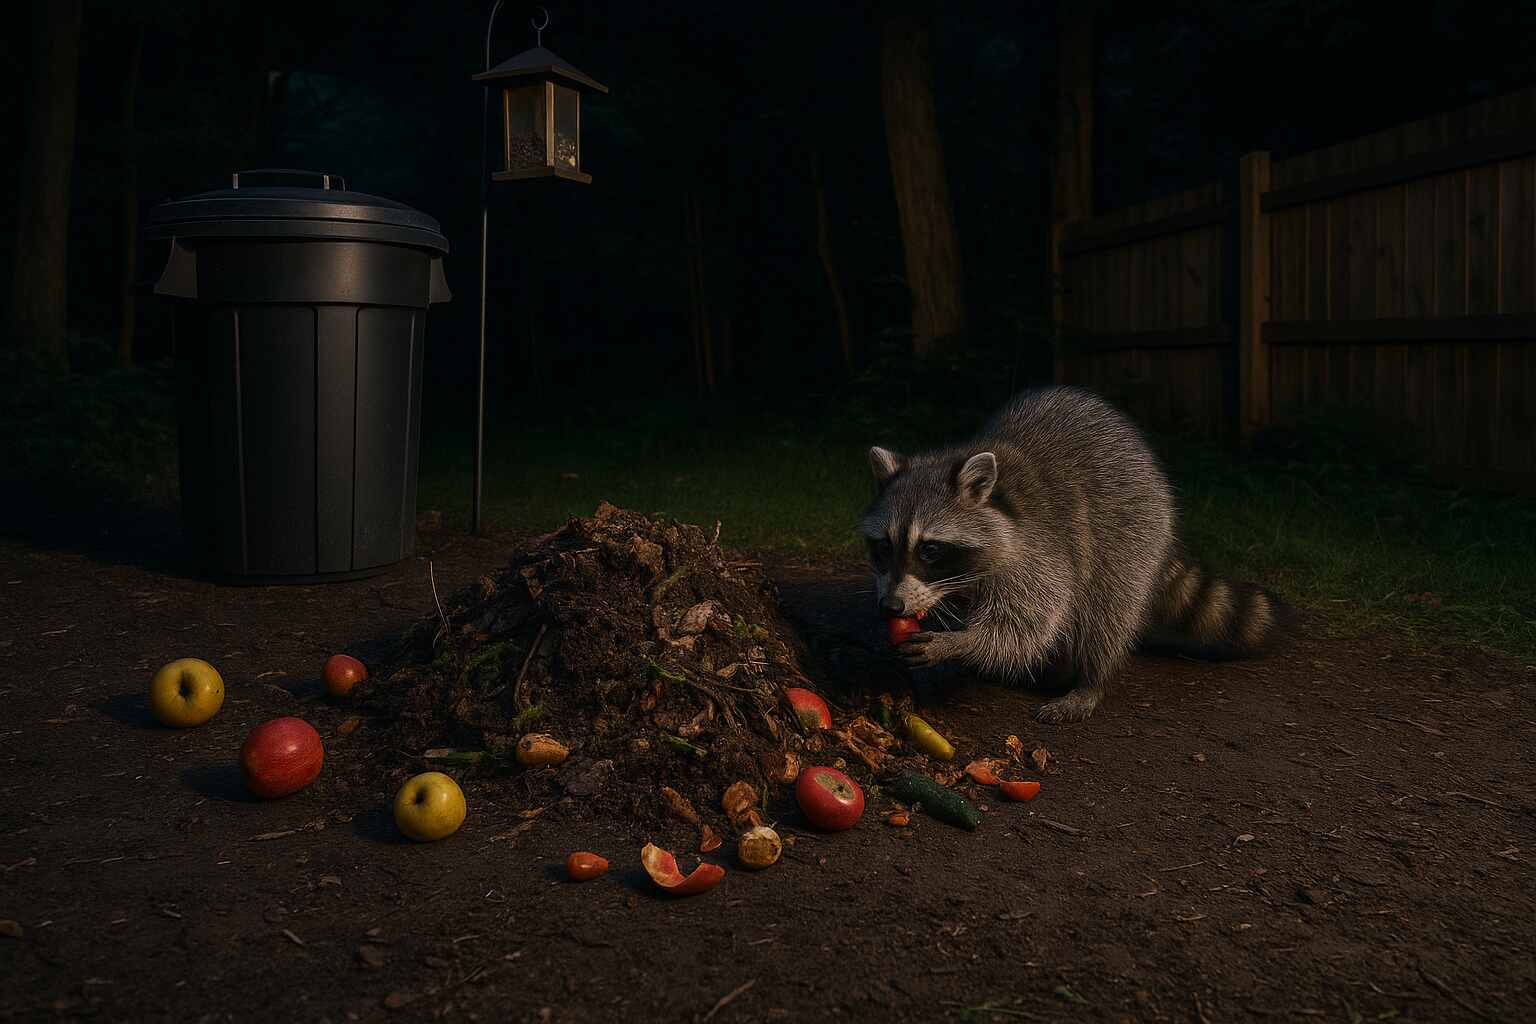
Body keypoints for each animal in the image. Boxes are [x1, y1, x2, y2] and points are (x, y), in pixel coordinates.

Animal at [861, 385, 1290, 723]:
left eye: (930, 549)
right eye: (884, 547)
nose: (890, 607)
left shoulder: (1040, 551)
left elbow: (1028, 625)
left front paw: (961, 643)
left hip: (1133, 529)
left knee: (1107, 610)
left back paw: (1091, 680)